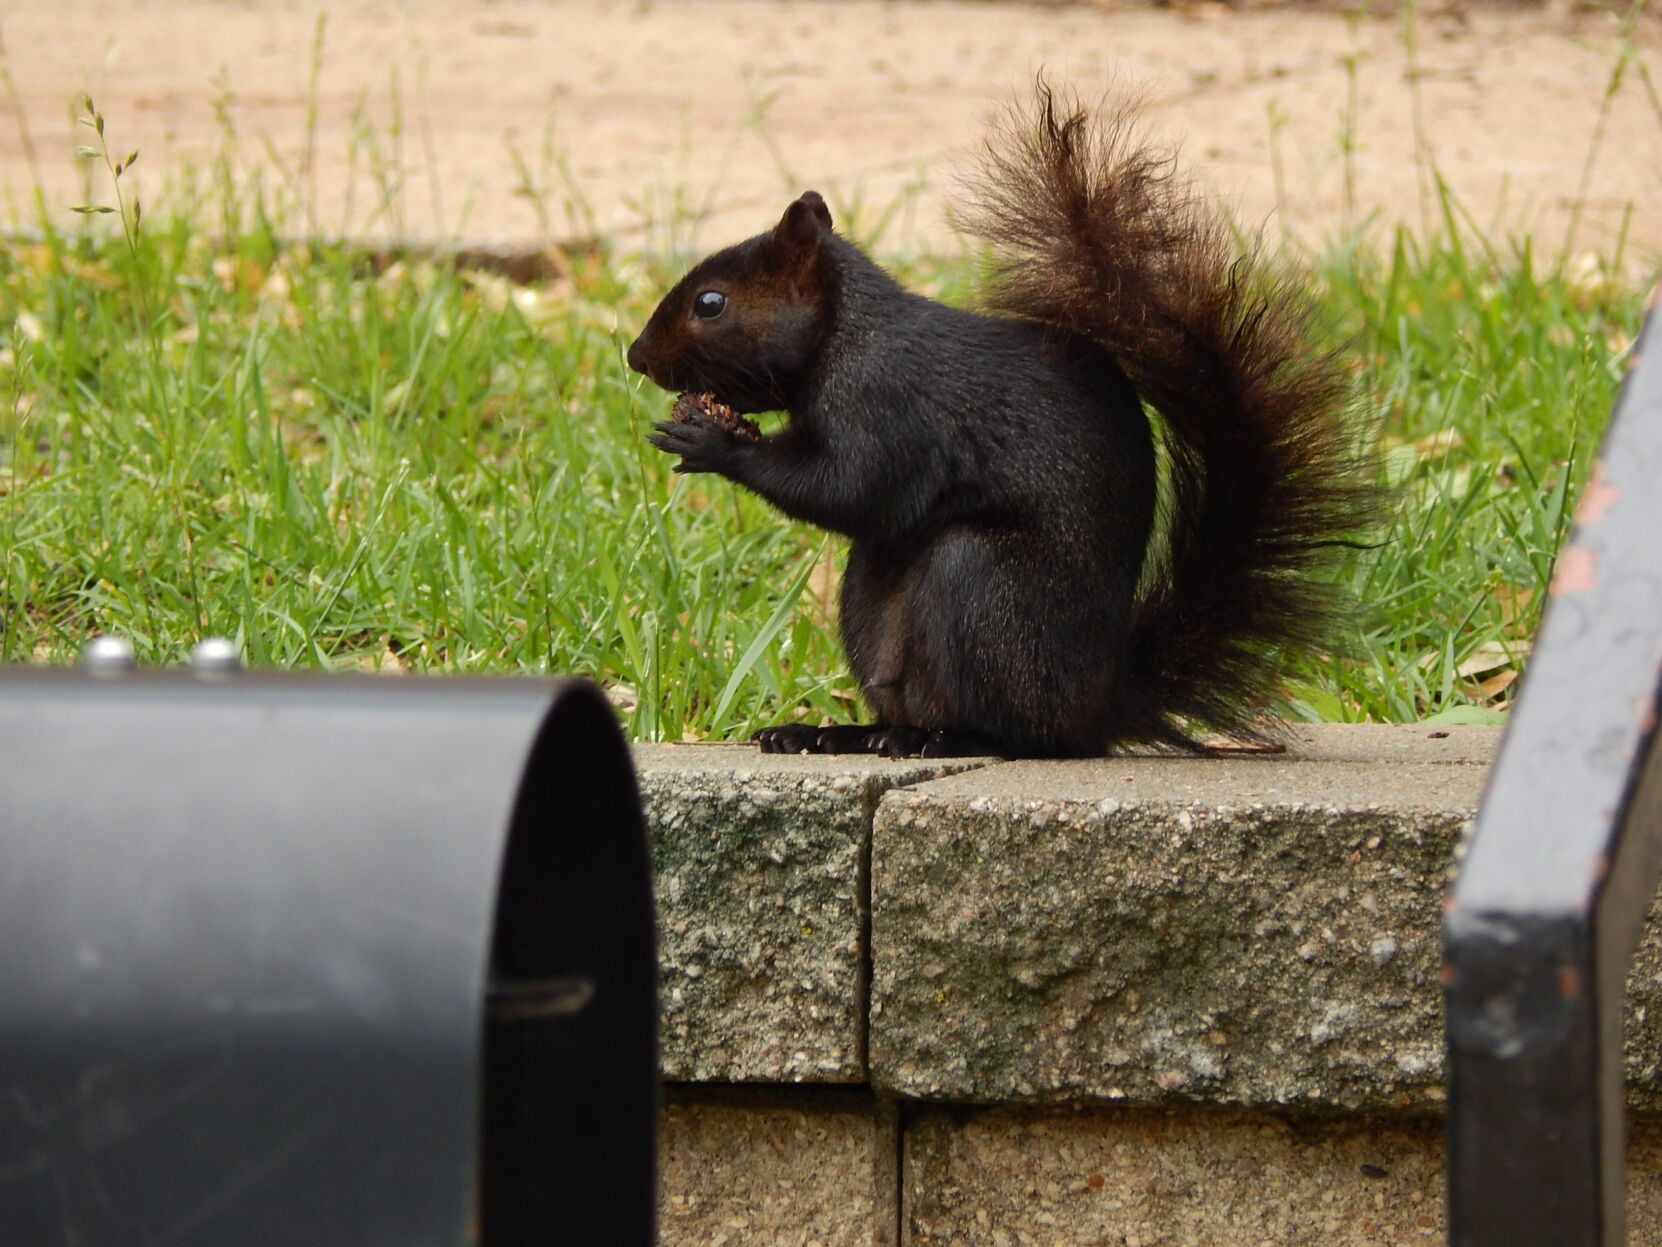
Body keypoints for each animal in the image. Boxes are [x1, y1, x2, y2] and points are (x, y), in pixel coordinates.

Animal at [627, 83, 1378, 759]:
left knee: (1023, 733)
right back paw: (840, 733)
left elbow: (853, 488)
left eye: (711, 302)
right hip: (870, 600)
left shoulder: (888, 403)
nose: (637, 357)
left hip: (988, 587)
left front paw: (712, 441)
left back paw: (945, 739)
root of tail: (1101, 705)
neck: (847, 335)